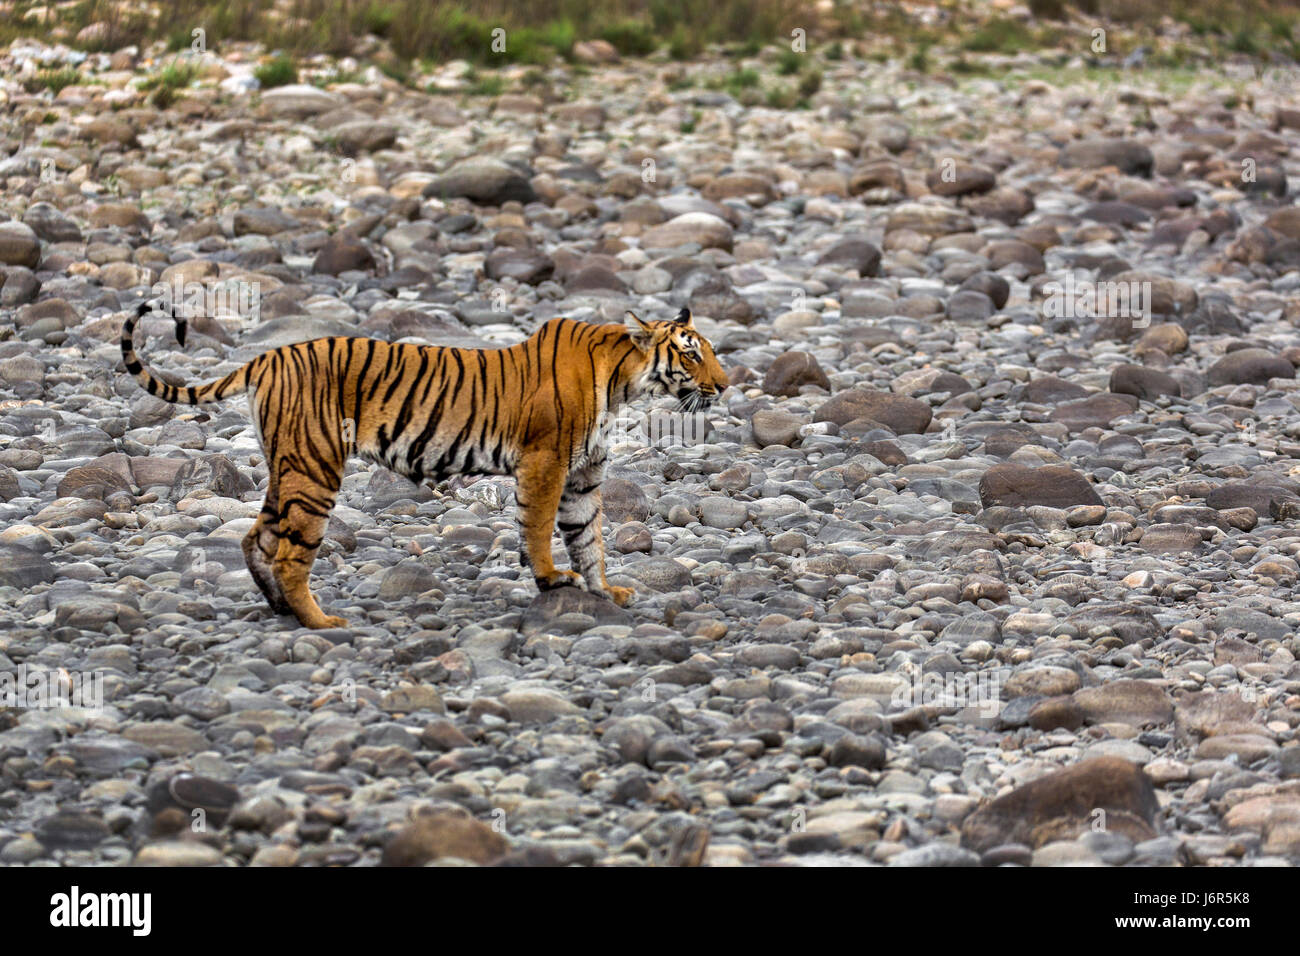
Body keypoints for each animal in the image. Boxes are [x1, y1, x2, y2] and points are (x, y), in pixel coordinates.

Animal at [120, 303, 728, 629]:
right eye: (692, 353)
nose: (725, 385)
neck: (624, 382)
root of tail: (267, 356)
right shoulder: (546, 463)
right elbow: (539, 528)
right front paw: (552, 579)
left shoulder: (583, 476)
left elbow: (590, 538)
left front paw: (604, 592)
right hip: (314, 469)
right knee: (292, 553)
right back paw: (320, 622)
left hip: (288, 467)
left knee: (257, 538)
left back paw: (279, 609)